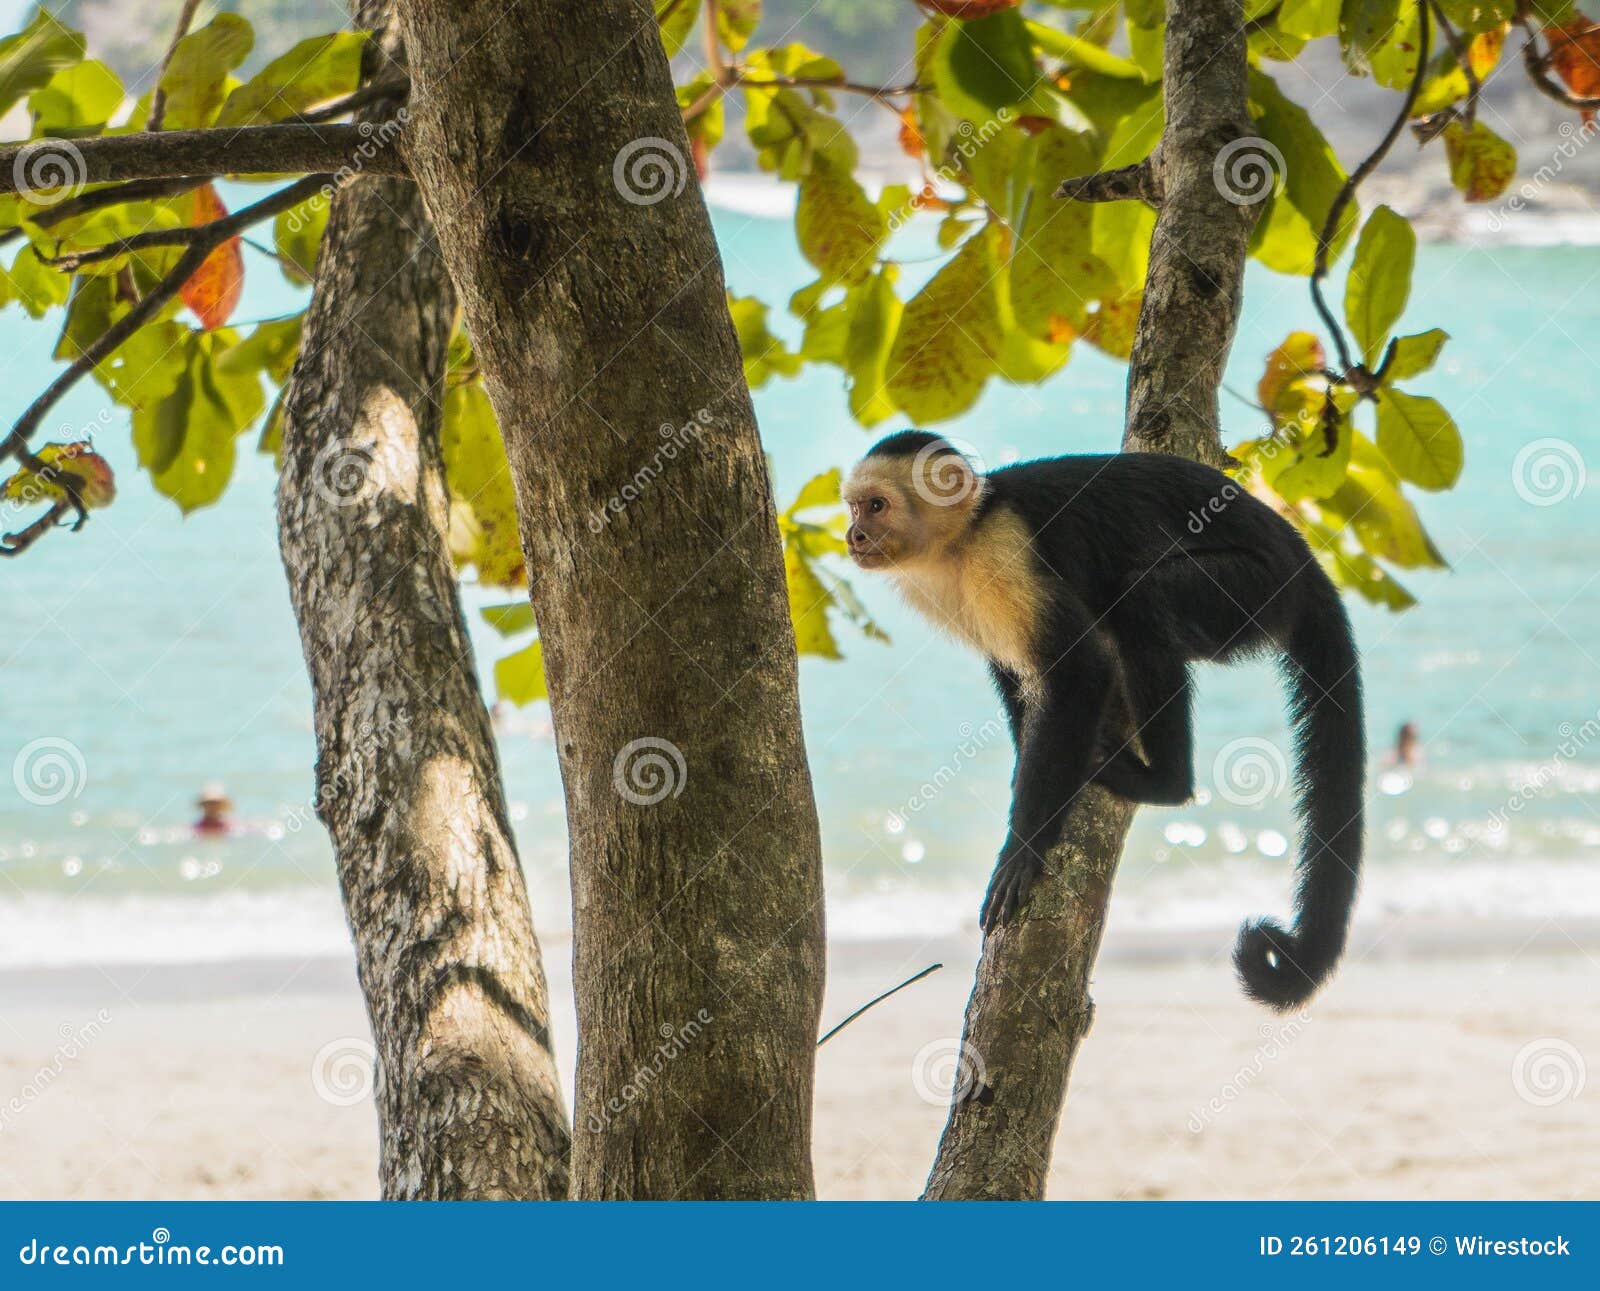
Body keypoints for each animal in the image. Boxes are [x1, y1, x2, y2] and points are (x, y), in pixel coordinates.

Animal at [842, 430, 1364, 1011]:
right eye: (854, 506)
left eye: (876, 506)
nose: (852, 535)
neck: (963, 537)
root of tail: (1298, 552)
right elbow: (1014, 675)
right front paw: (1028, 769)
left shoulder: (1004, 552)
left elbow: (1078, 671)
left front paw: (1024, 842)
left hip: (1254, 586)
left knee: (1141, 599)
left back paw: (1165, 781)